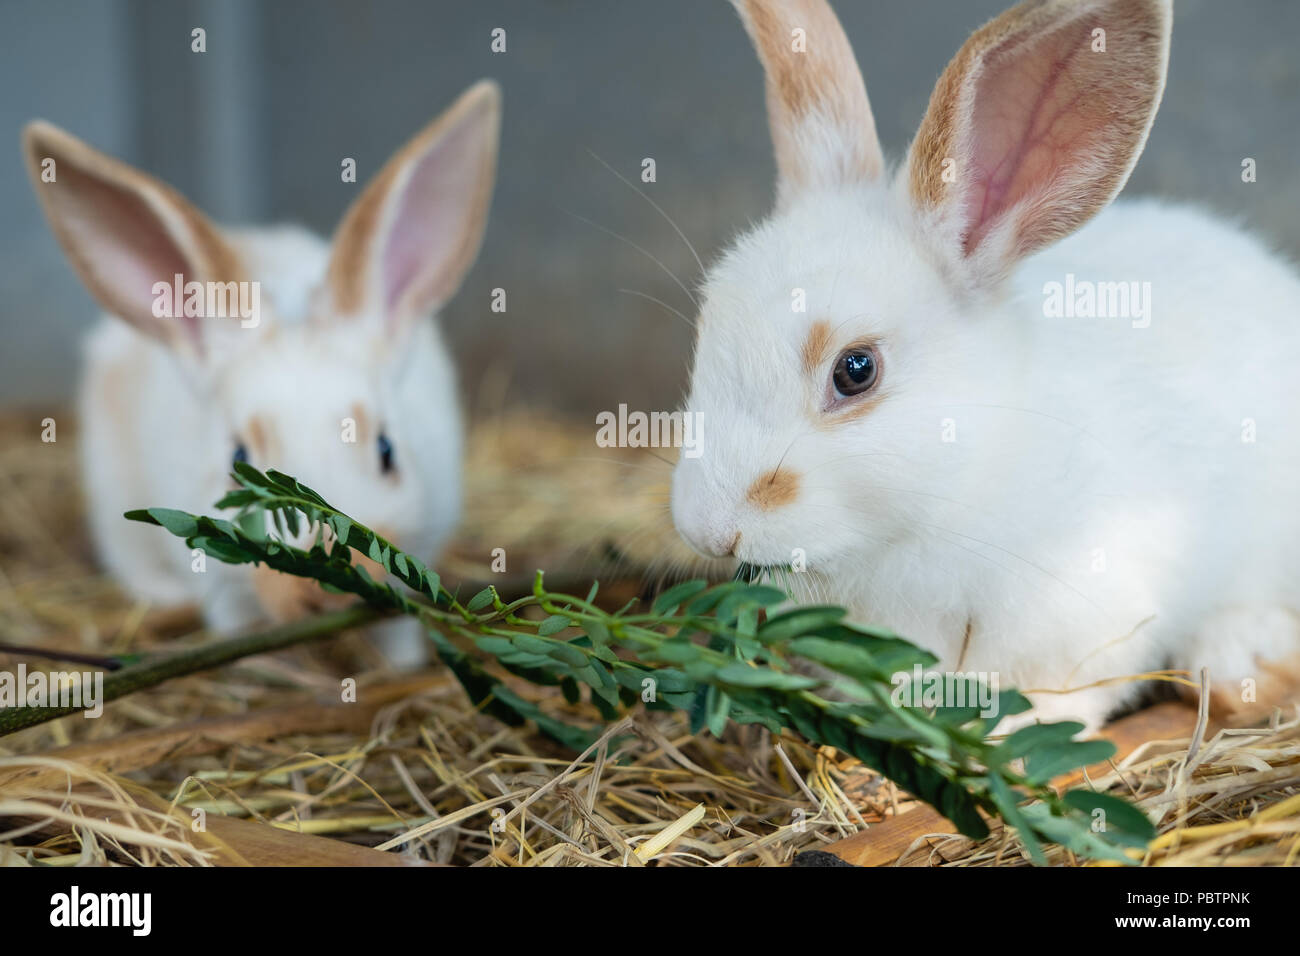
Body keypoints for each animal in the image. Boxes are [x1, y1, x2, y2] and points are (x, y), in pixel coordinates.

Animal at [23, 80, 501, 667]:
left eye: (388, 452)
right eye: (236, 464)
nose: (327, 591)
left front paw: (401, 664)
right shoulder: (220, 589)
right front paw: (269, 664)